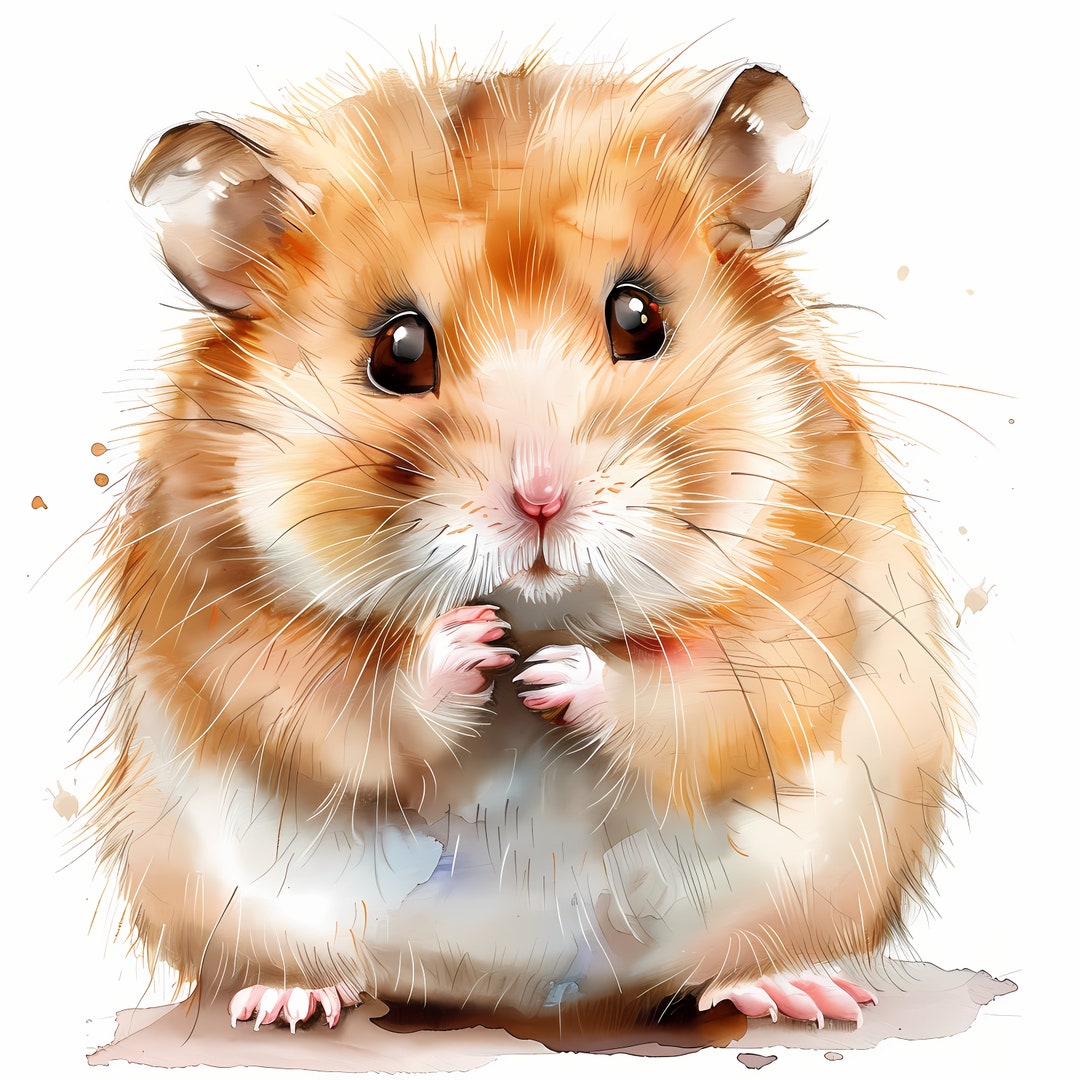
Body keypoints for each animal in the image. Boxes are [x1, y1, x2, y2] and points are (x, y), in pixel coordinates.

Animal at [84, 52, 966, 1037]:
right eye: (398, 350)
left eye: (638, 318)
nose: (541, 501)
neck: (538, 612)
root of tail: (520, 999)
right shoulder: (226, 615)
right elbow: (346, 697)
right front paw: (471, 647)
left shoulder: (802, 600)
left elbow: (697, 693)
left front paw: (551, 677)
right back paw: (286, 1000)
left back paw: (802, 992)